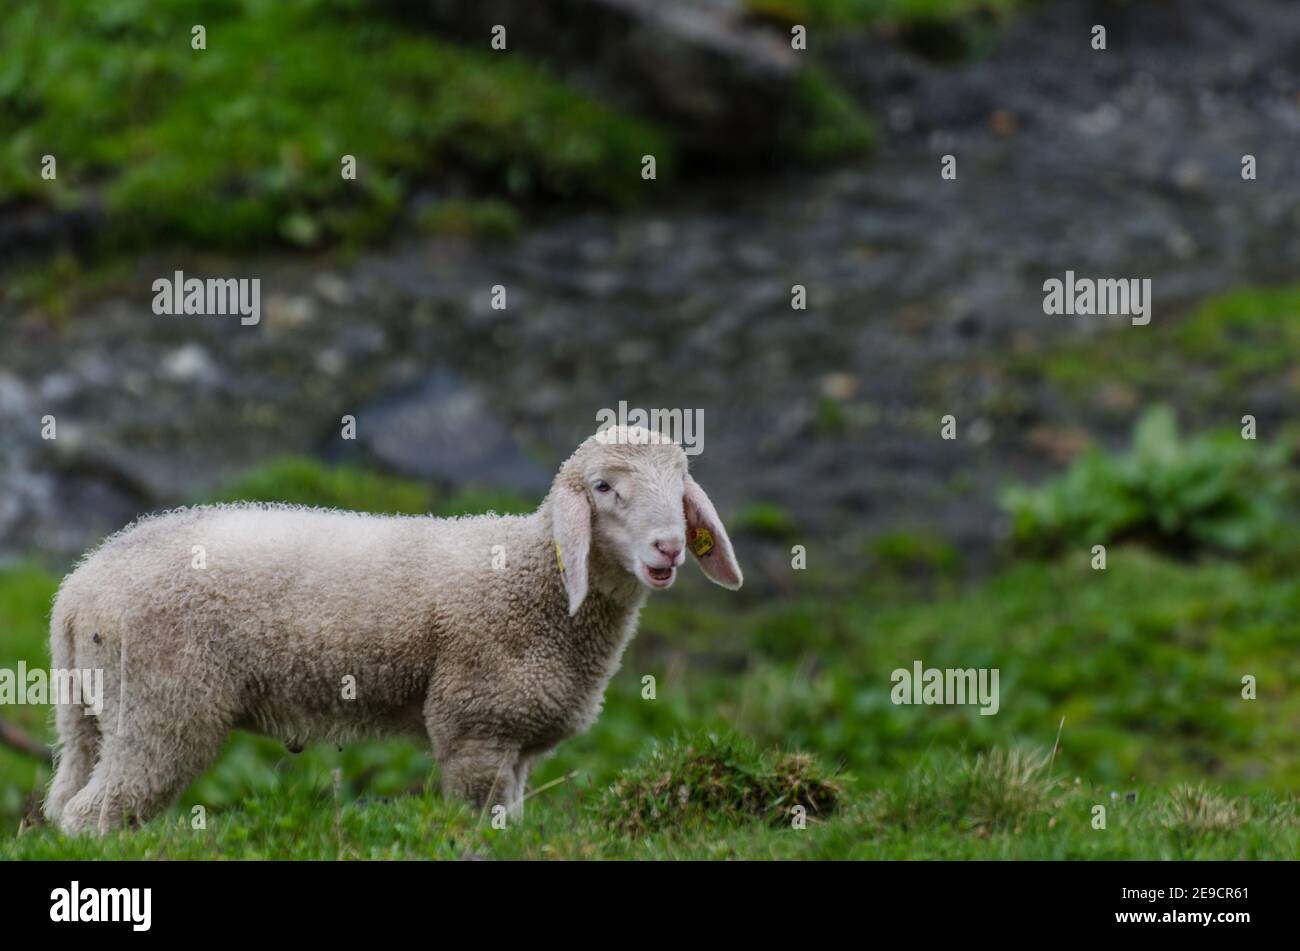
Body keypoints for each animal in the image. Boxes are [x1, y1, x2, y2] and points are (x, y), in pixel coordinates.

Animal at [44, 425, 743, 834]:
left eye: (681, 484)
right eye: (603, 487)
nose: (668, 548)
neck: (535, 581)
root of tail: (77, 590)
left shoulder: (513, 741)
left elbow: (512, 821)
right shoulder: (475, 725)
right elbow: (478, 821)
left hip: (93, 711)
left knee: (65, 799)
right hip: (163, 705)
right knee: (91, 815)